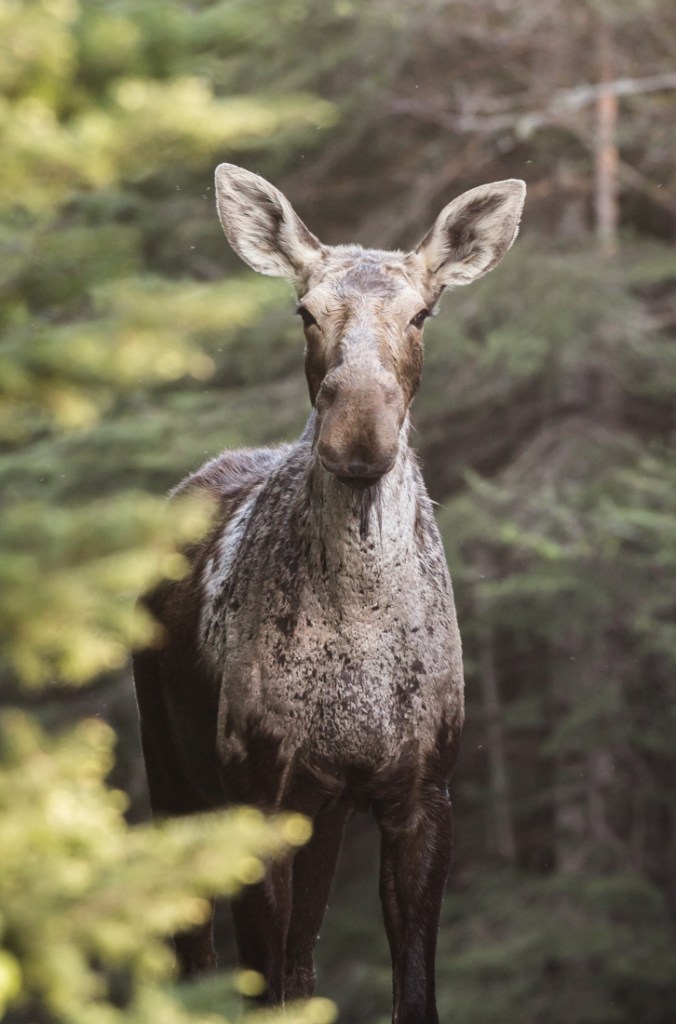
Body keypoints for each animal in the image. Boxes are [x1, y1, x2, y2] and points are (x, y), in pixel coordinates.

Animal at [133, 164, 525, 1024]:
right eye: (305, 311)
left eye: (422, 312)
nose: (357, 437)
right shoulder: (256, 787)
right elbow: (260, 987)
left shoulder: (421, 787)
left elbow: (411, 995)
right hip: (173, 771)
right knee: (194, 957)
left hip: (316, 816)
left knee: (301, 961)